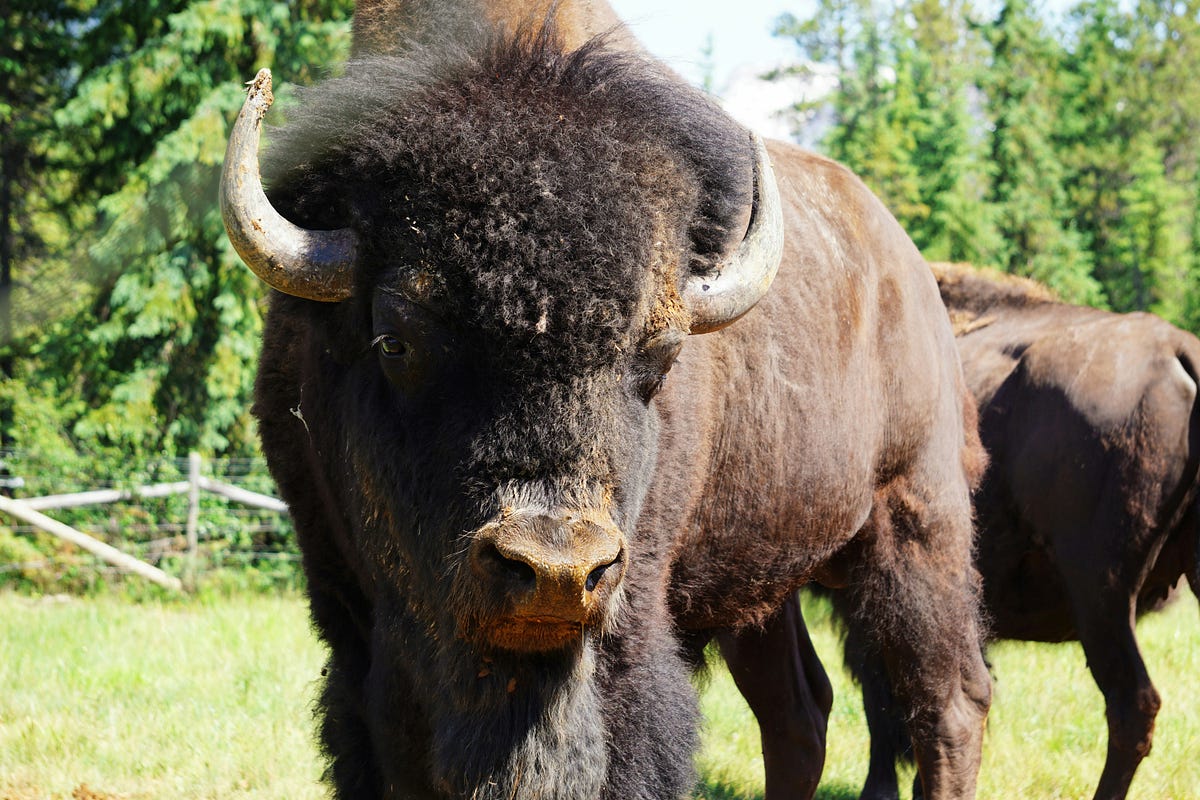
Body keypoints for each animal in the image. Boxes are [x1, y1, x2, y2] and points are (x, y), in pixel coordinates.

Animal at [219, 10, 991, 799]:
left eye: (661, 355)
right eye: (394, 339)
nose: (557, 568)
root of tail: (910, 269)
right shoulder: (352, 628)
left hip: (916, 525)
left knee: (949, 704)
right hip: (764, 584)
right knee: (800, 714)